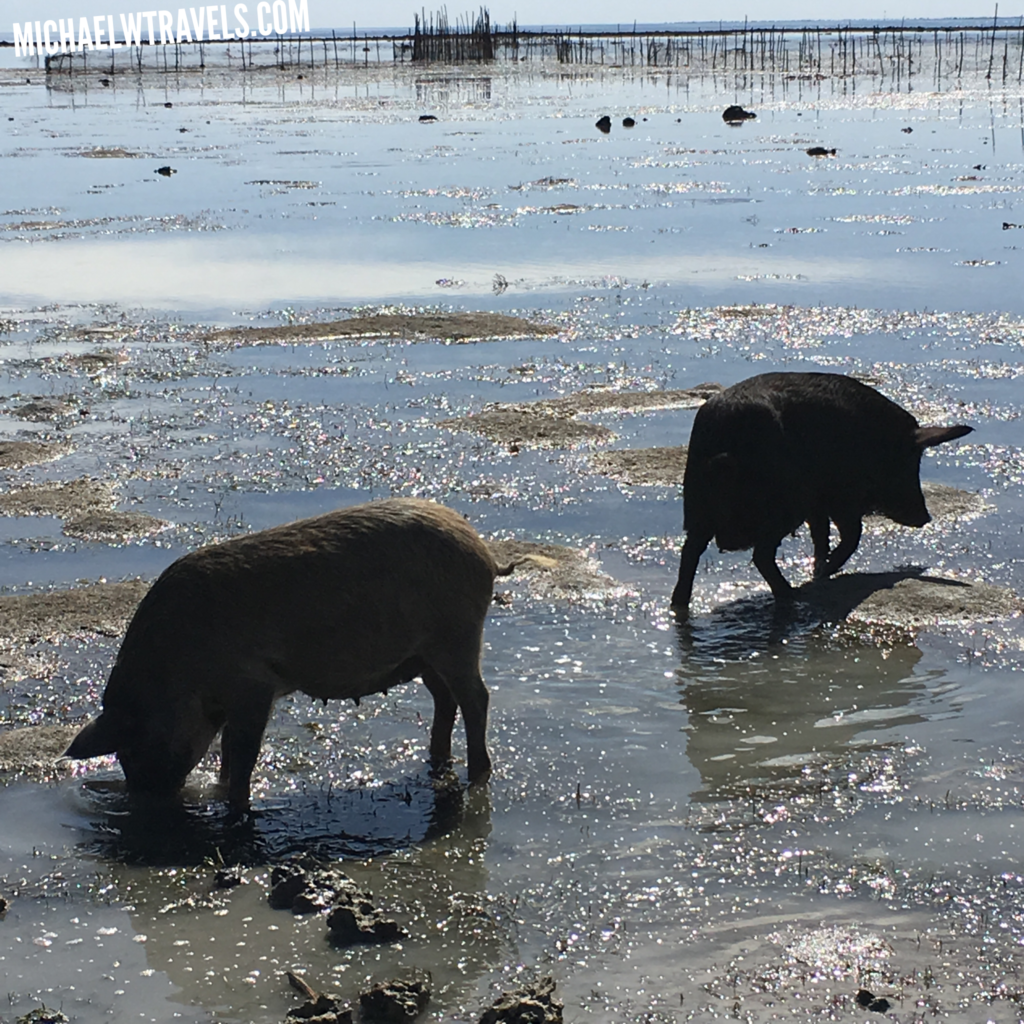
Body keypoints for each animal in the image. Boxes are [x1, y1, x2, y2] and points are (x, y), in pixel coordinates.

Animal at [64, 498, 510, 810]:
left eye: (132, 748)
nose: (149, 799)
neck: (175, 670)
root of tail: (483, 552)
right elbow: (229, 750)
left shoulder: (254, 686)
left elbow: (242, 750)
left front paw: (234, 799)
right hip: (426, 655)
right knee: (445, 699)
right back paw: (437, 758)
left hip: (457, 636)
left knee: (477, 698)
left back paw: (477, 773)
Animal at [670, 372, 972, 612]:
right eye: (911, 463)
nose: (926, 517)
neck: (875, 440)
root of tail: (724, 450)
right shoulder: (841, 497)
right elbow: (852, 536)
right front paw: (825, 572)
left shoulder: (818, 506)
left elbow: (821, 536)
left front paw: (819, 572)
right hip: (784, 506)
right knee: (761, 556)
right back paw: (792, 595)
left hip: (697, 509)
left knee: (690, 554)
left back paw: (679, 604)